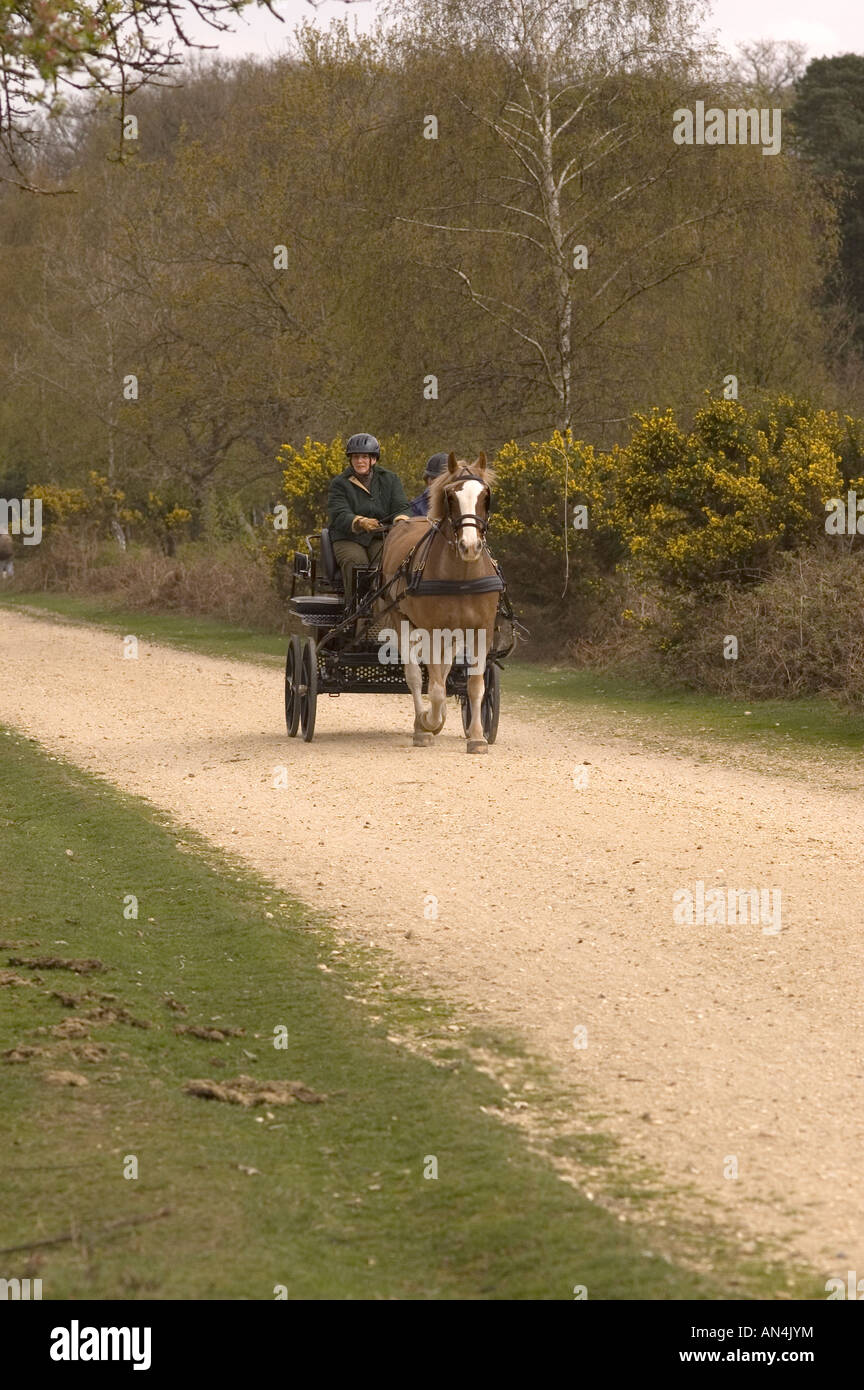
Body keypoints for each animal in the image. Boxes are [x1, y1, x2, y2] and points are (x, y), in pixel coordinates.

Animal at [380, 452, 500, 754]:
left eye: (485, 495)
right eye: (451, 496)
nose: (470, 546)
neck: (462, 576)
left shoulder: (481, 631)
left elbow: (475, 685)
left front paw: (477, 737)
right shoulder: (432, 631)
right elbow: (432, 688)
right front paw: (428, 721)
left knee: (443, 673)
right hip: (402, 620)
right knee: (414, 674)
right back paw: (421, 727)